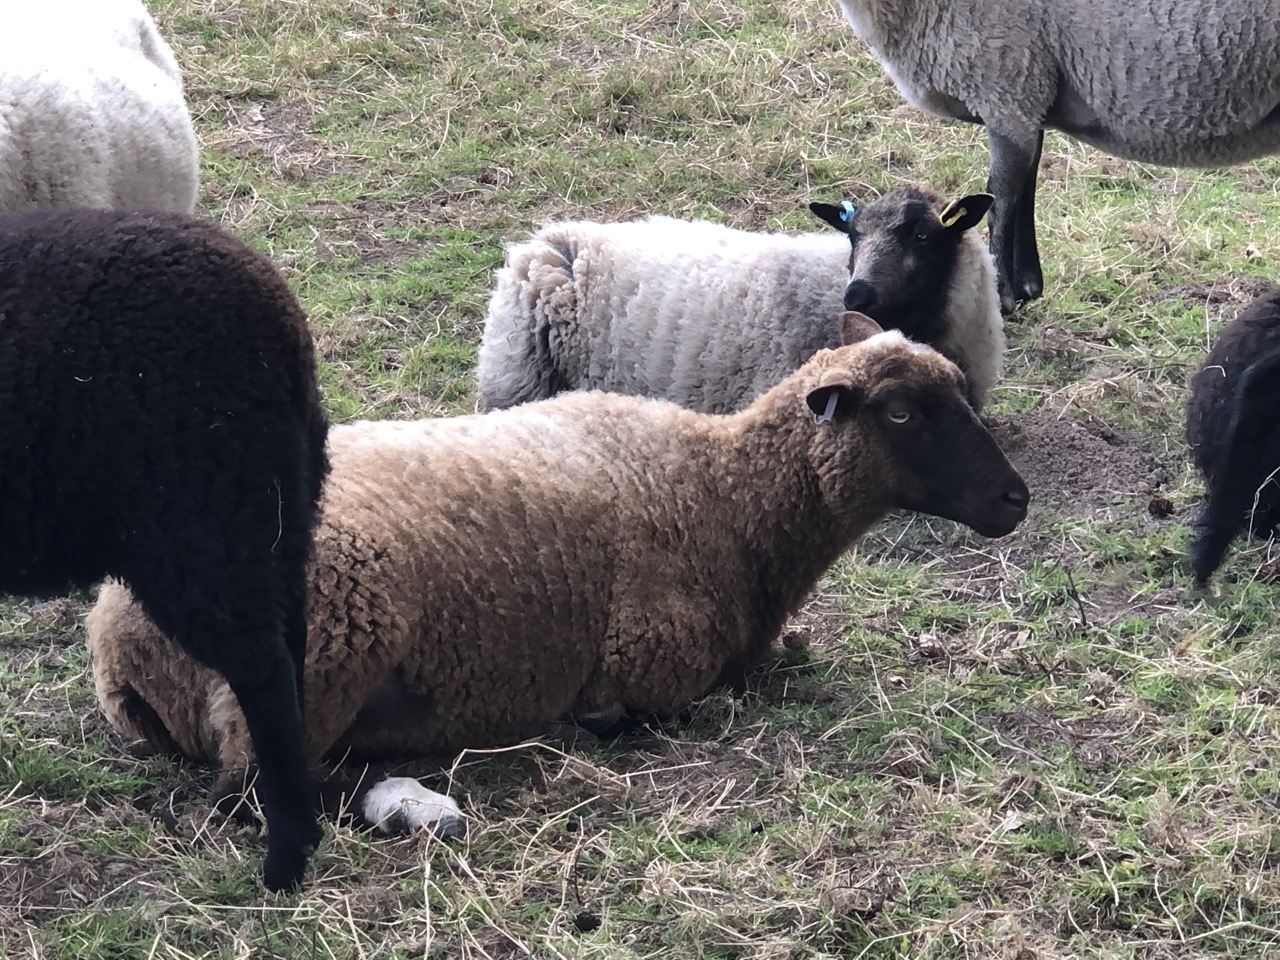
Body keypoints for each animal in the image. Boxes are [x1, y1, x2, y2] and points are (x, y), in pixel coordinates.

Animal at [88, 312, 1029, 835]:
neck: (725, 495)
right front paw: (603, 715)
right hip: (324, 651)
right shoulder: (655, 656)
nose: (1014, 498)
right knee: (253, 787)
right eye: (901, 413)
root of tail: (120, 635)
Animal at [834, 0, 1280, 313]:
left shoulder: (1006, 87)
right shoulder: (1029, 97)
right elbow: (1025, 189)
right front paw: (1028, 287)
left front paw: (1003, 300)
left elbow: (1001, 200)